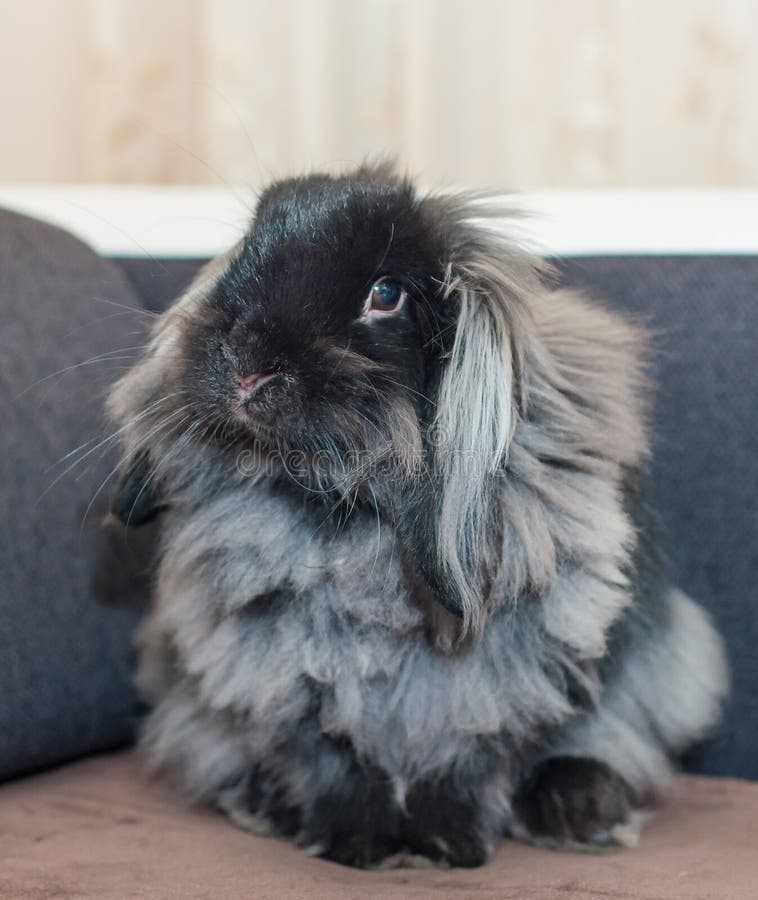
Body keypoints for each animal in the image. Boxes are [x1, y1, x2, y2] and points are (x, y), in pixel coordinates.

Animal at [107, 164, 728, 869]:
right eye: (250, 243)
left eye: (386, 294)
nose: (245, 367)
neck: (344, 518)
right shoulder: (289, 676)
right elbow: (335, 759)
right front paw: (360, 845)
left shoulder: (499, 677)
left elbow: (465, 756)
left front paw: (442, 845)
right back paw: (263, 806)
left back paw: (580, 812)